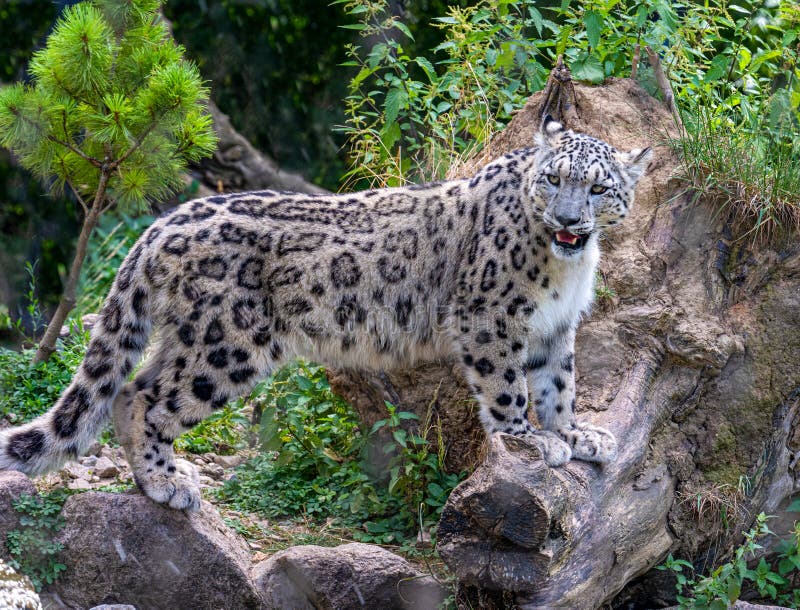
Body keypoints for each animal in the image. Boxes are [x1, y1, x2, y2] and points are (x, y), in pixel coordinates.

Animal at [0, 117, 651, 511]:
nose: (567, 219)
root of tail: (160, 225)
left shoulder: (555, 327)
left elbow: (558, 384)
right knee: (143, 397)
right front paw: (529, 441)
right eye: (554, 179)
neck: (567, 268)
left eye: (597, 189)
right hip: (227, 343)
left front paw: (574, 434)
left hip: (195, 339)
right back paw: (166, 482)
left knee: (134, 386)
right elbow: (509, 388)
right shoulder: (491, 317)